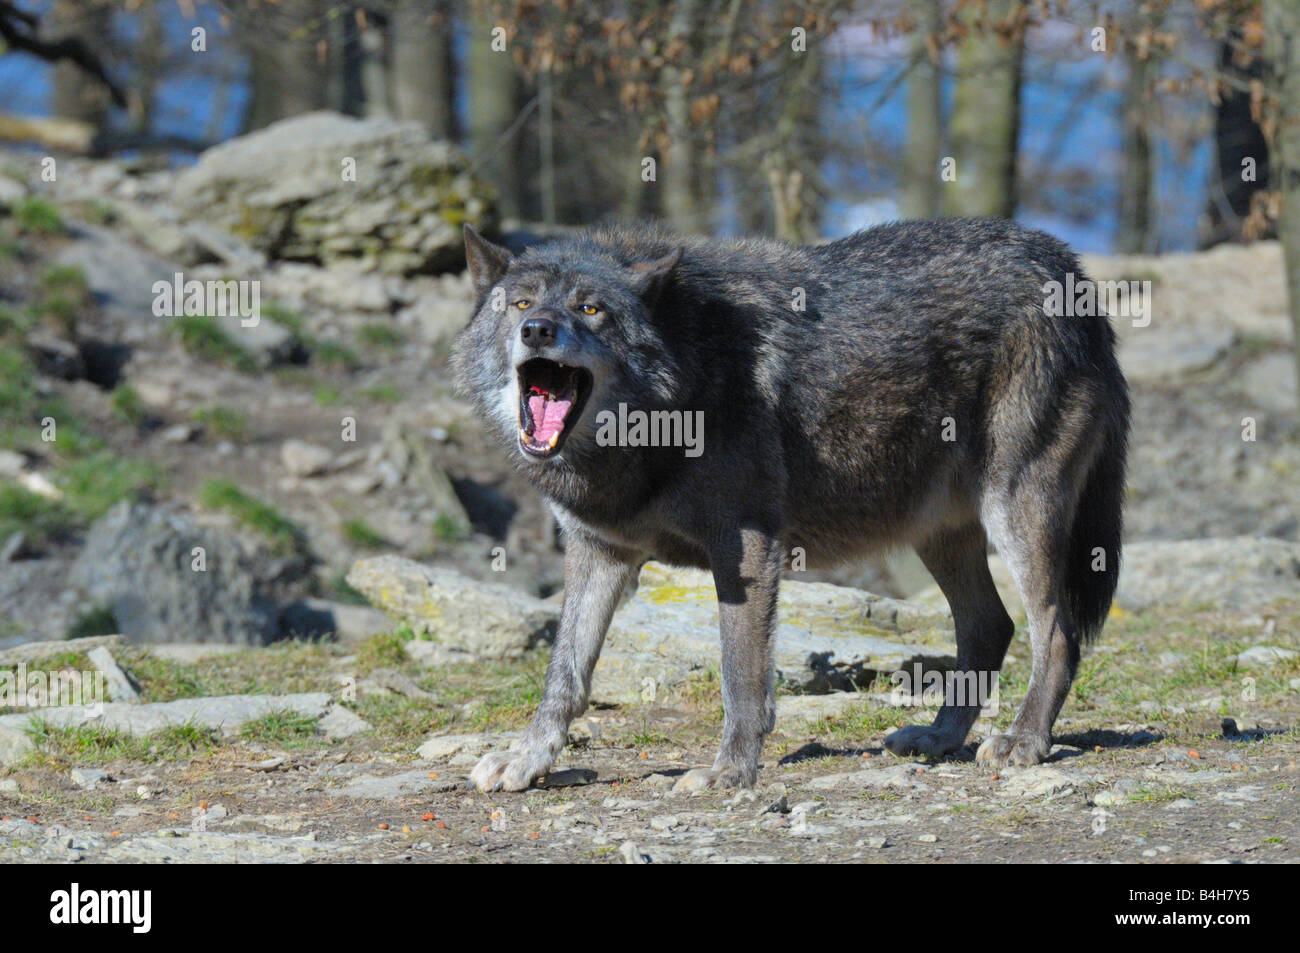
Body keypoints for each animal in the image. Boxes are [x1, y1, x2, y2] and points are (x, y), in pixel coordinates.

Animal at [452, 218, 1129, 793]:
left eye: (591, 309)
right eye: (520, 304)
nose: (537, 330)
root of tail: (1065, 264)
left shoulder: (747, 548)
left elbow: (741, 675)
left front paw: (729, 773)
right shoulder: (598, 553)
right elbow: (564, 674)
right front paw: (527, 760)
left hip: (1015, 515)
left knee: (1057, 634)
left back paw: (1025, 742)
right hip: (938, 533)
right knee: (991, 627)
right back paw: (939, 737)